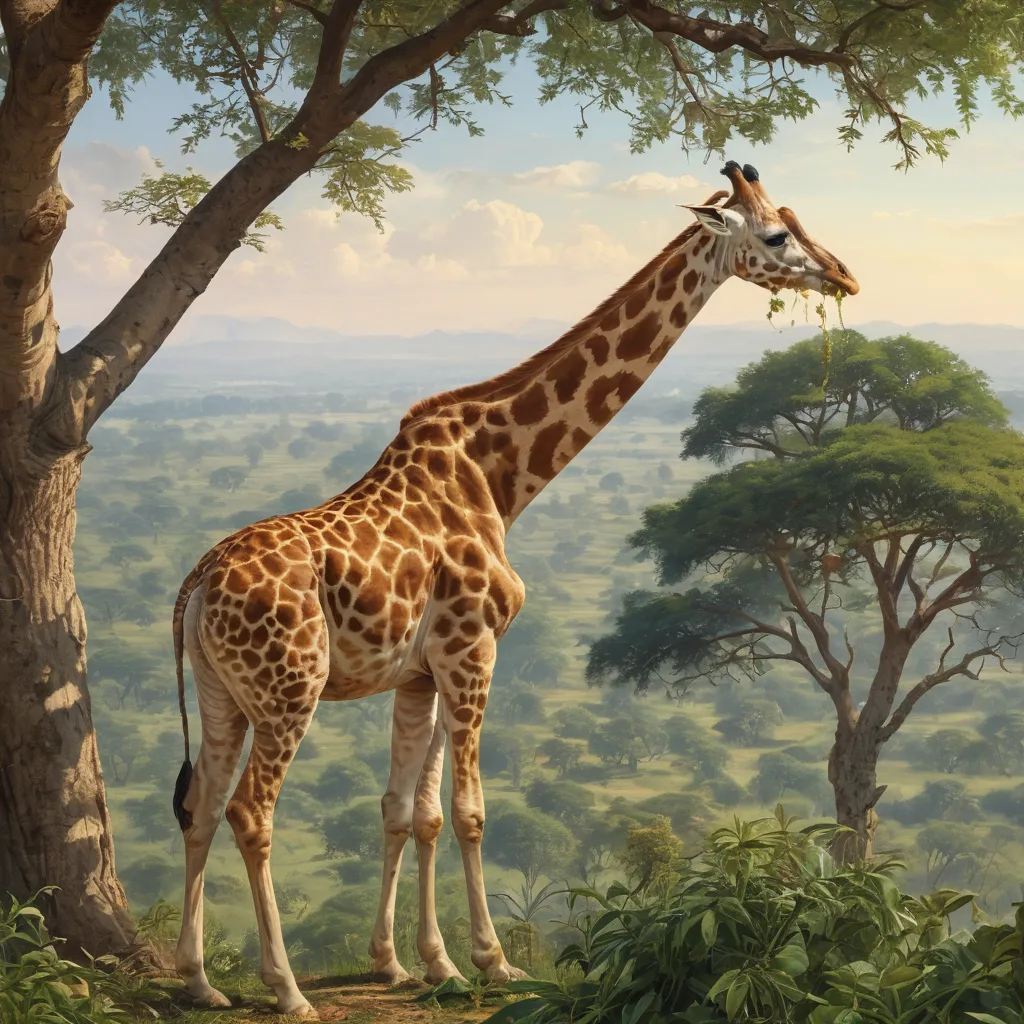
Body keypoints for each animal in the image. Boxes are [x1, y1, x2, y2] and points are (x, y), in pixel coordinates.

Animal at [170, 160, 858, 1018]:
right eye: (774, 236)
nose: (844, 275)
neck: (502, 475)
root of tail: (196, 584)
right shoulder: (474, 648)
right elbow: (468, 813)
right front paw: (491, 961)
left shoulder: (422, 671)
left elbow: (410, 812)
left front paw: (410, 963)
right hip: (289, 688)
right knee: (249, 811)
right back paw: (287, 988)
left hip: (222, 693)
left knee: (200, 807)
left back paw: (199, 979)